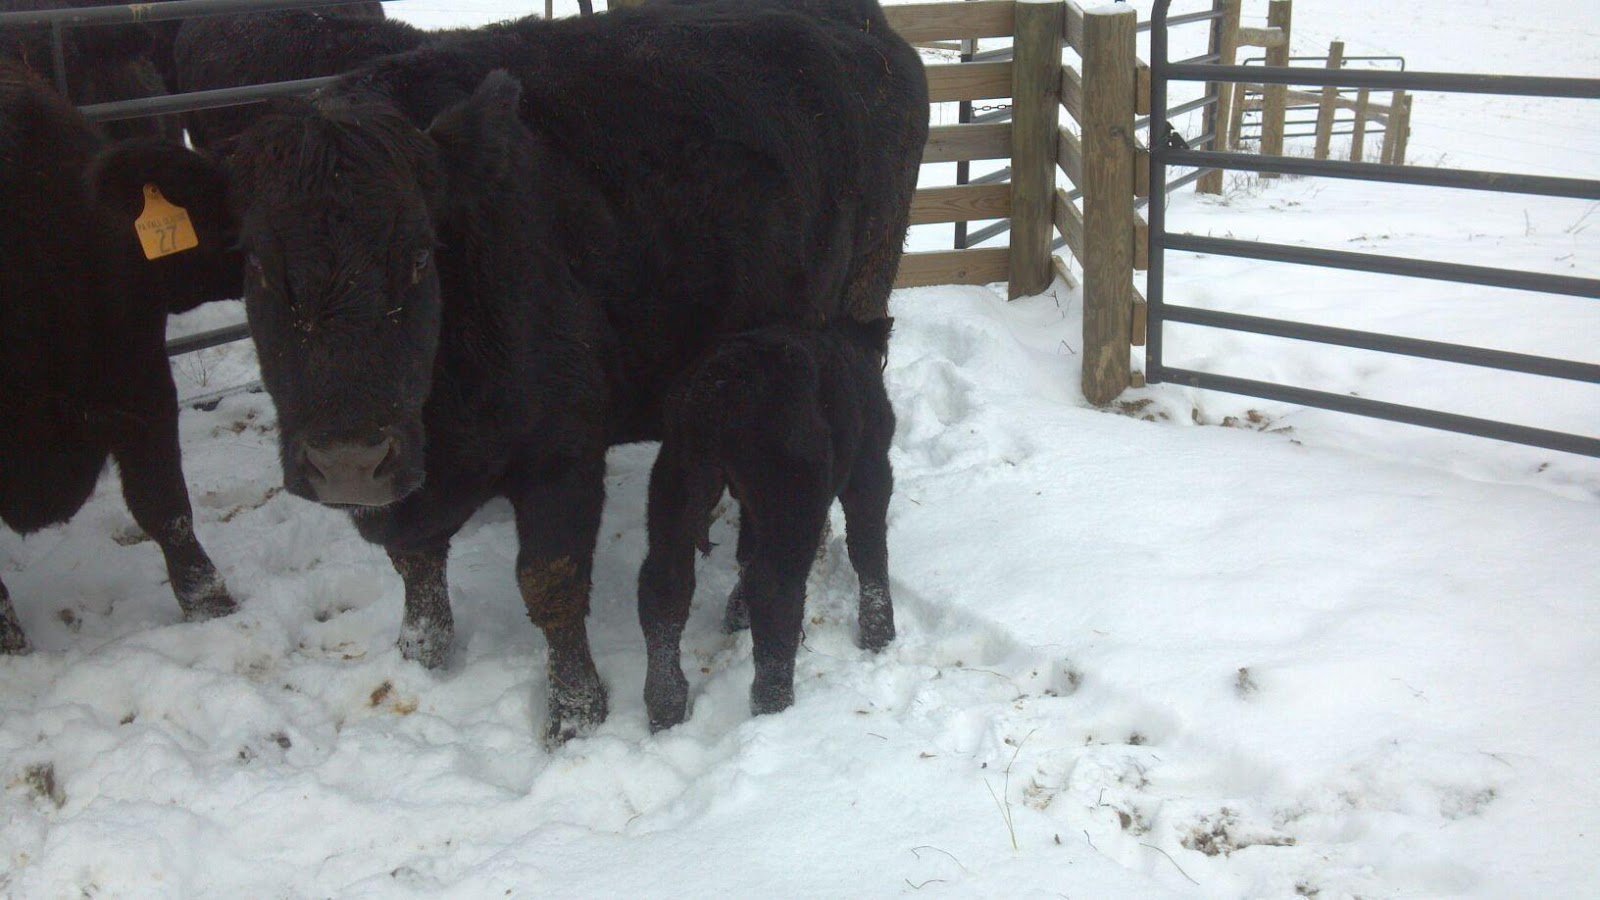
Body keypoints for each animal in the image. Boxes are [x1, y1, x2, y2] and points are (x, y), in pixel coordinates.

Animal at [639, 318, 897, 731]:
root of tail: (719, 388)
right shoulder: (870, 464)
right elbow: (869, 547)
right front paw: (879, 632)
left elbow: (746, 549)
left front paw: (736, 614)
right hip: (793, 491)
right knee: (777, 589)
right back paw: (774, 703)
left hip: (675, 477)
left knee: (664, 584)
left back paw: (665, 704)